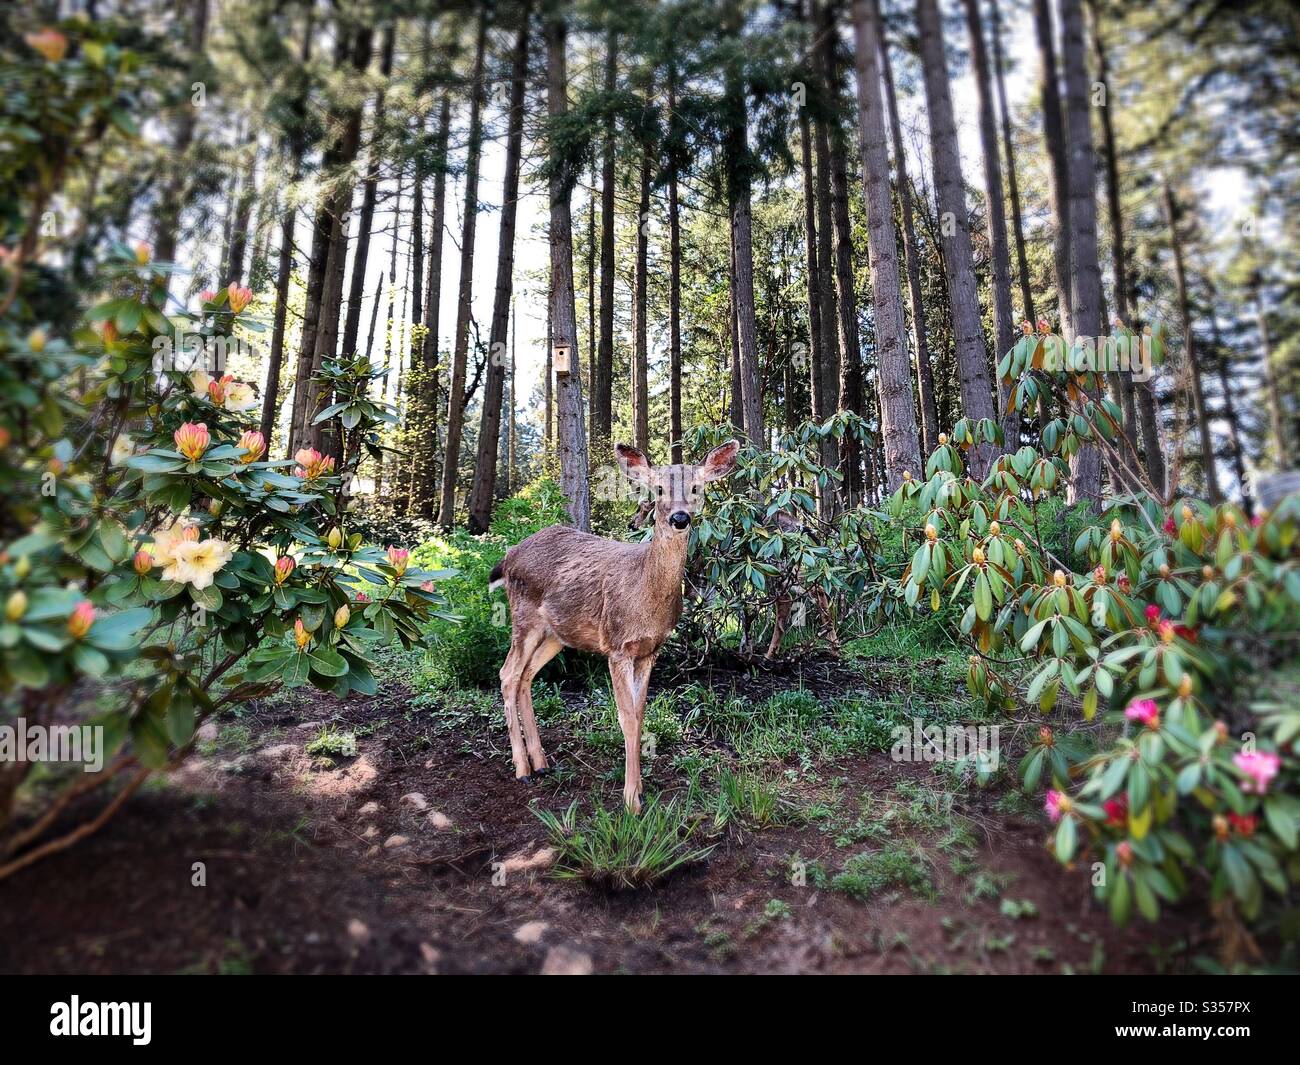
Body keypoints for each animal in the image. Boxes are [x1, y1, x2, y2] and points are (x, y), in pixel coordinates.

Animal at [489, 439, 740, 812]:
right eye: (659, 488)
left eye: (697, 488)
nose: (680, 518)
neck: (645, 593)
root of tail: (508, 555)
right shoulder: (618, 646)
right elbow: (627, 718)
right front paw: (632, 800)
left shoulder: (651, 650)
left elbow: (641, 713)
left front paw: (641, 790)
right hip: (524, 616)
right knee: (507, 673)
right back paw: (522, 768)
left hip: (556, 633)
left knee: (525, 676)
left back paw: (541, 763)